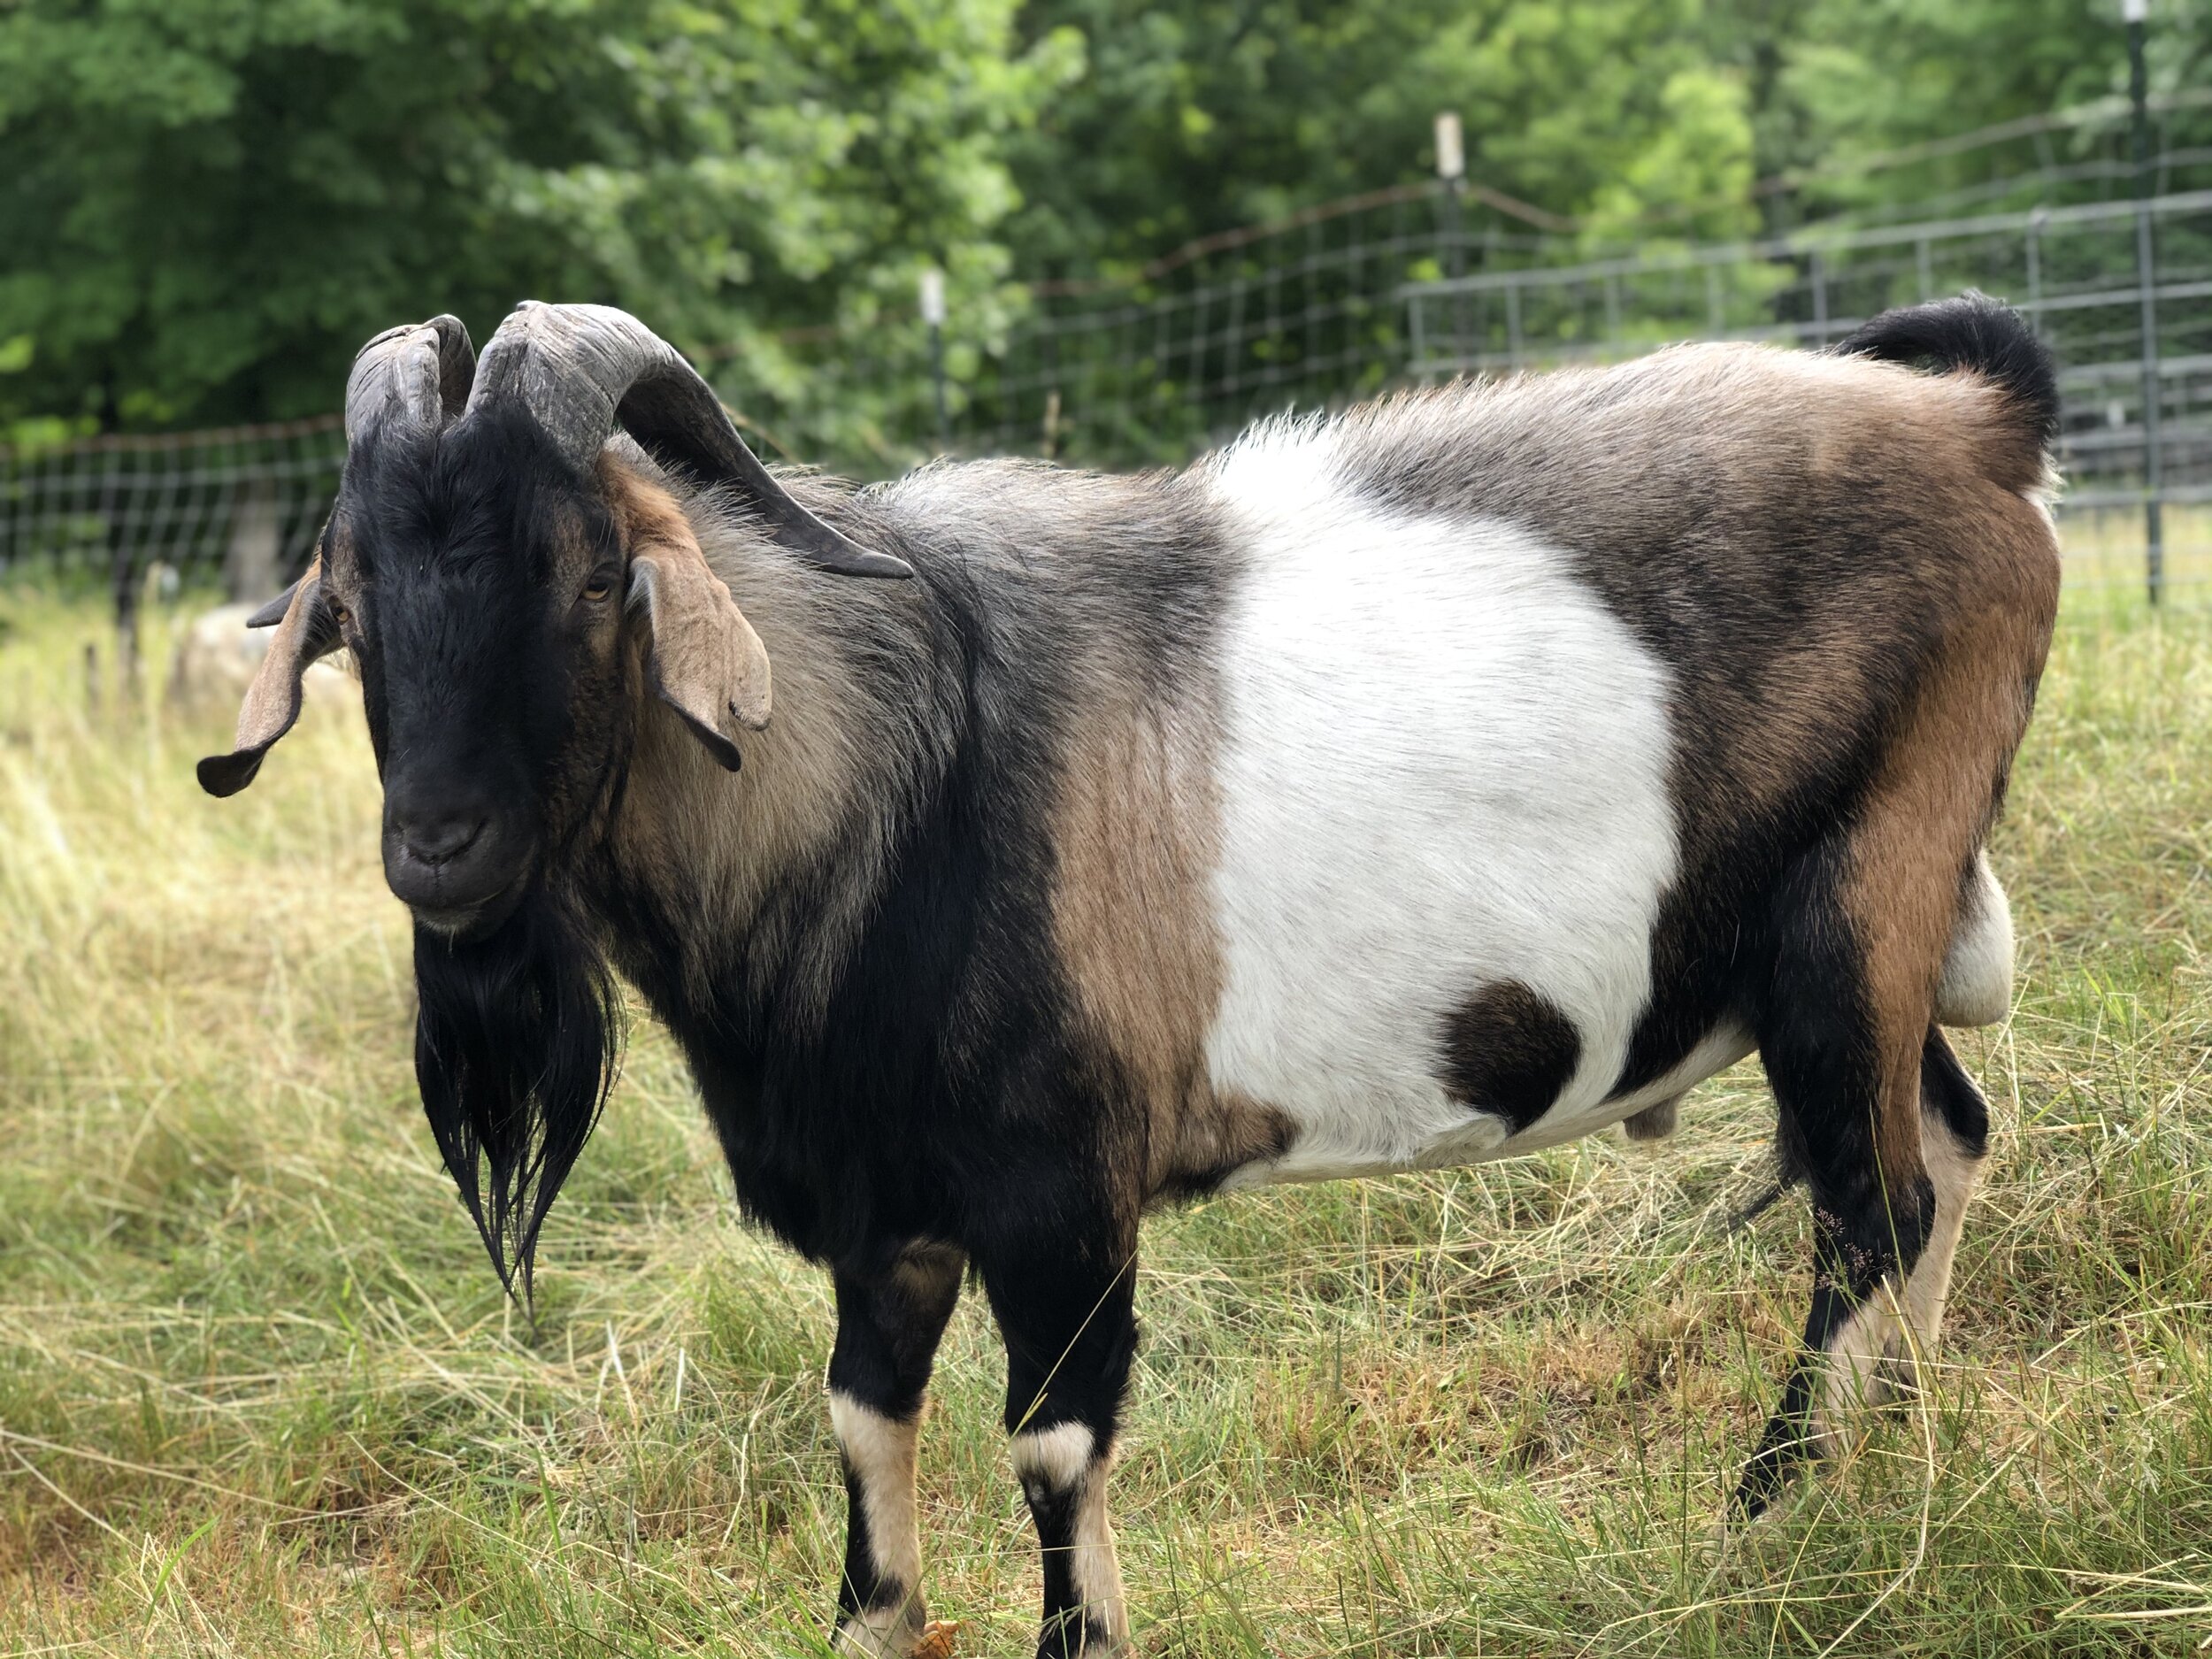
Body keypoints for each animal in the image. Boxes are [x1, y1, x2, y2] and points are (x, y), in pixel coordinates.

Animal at [202, 296, 2060, 1657]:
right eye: (351, 600)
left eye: (593, 575)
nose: (439, 851)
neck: (902, 773)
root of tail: (1982, 425)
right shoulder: (888, 1217)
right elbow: (865, 1436)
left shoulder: (1059, 1200)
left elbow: (1052, 1450)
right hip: (1854, 952)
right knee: (1943, 1143)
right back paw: (1904, 1463)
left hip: (1859, 899)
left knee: (1870, 1205)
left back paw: (1770, 1523)